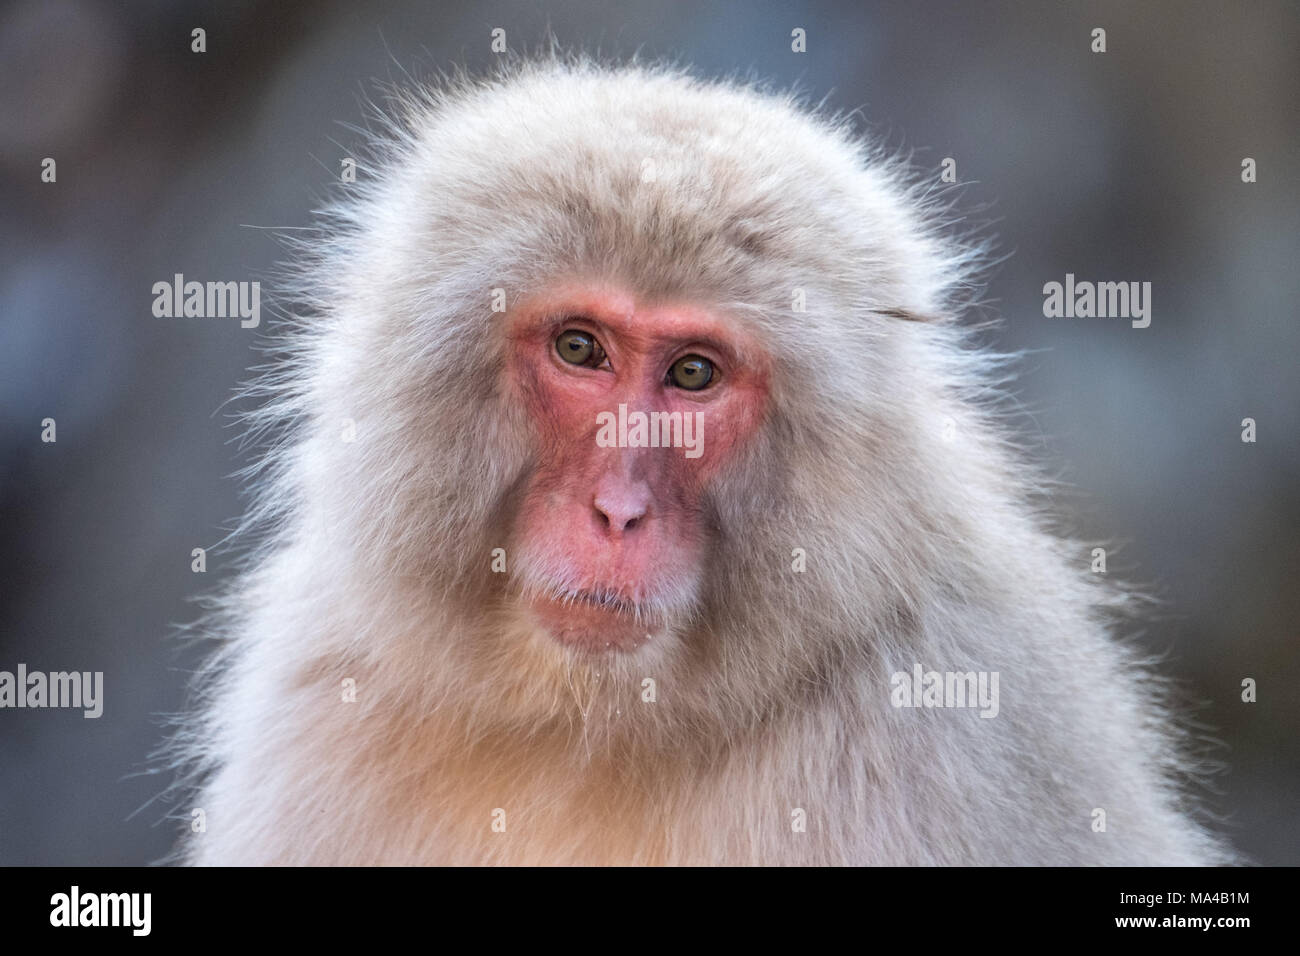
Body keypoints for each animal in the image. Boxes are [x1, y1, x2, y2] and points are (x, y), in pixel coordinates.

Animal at [173, 57, 1235, 866]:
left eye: (693, 373)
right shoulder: (321, 696)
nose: (616, 512)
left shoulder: (932, 734)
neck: (594, 728)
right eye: (581, 349)